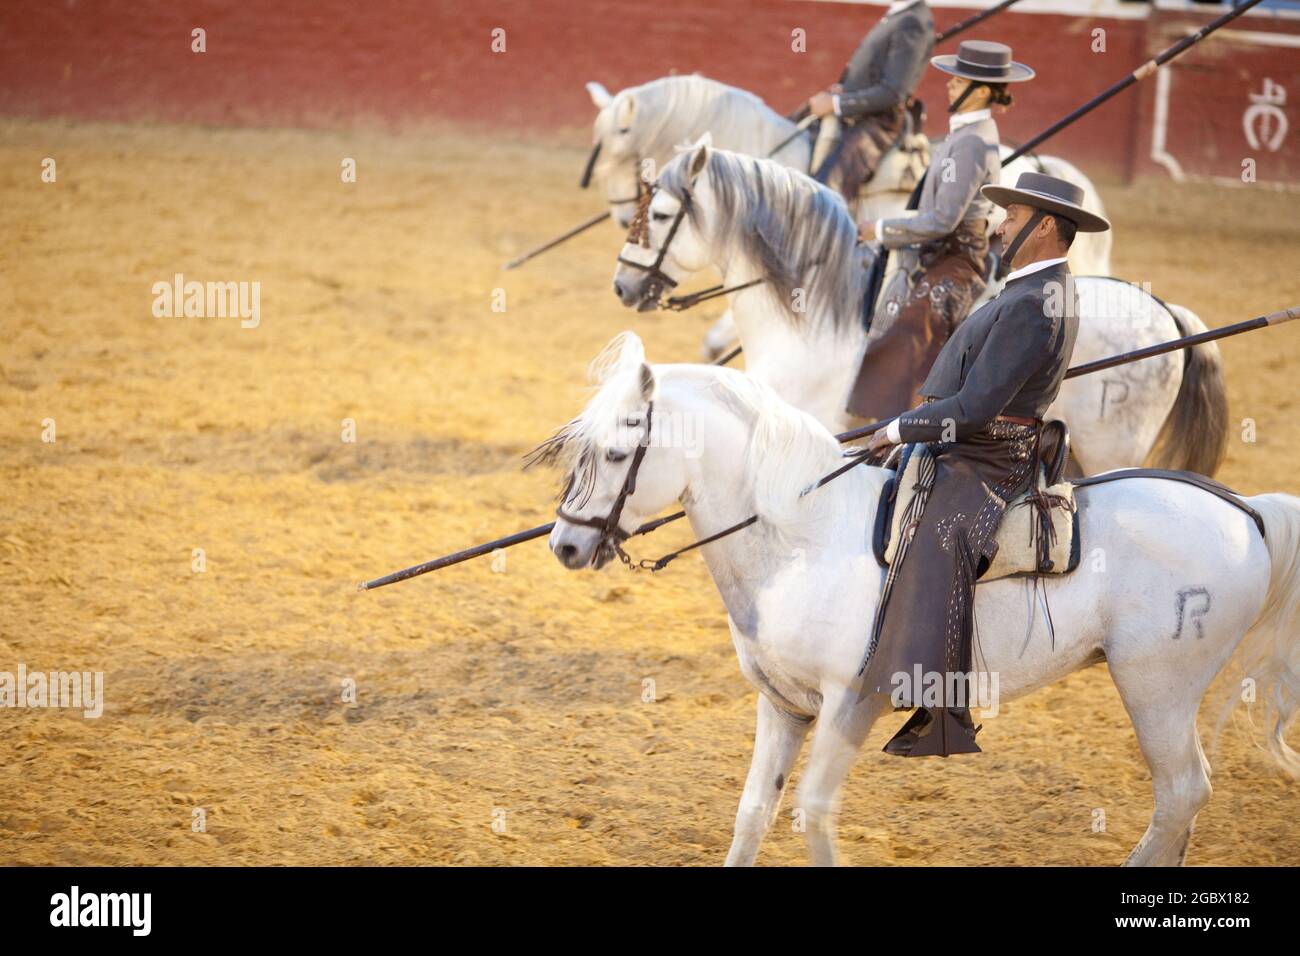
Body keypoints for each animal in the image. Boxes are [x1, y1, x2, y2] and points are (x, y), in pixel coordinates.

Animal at [536, 331, 1300, 866]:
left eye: (615, 454)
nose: (565, 546)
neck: (804, 534)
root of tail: (1246, 512)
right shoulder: (783, 706)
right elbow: (754, 814)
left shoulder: (853, 700)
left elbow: (814, 812)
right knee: (1183, 804)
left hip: (1157, 690)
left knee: (1183, 793)